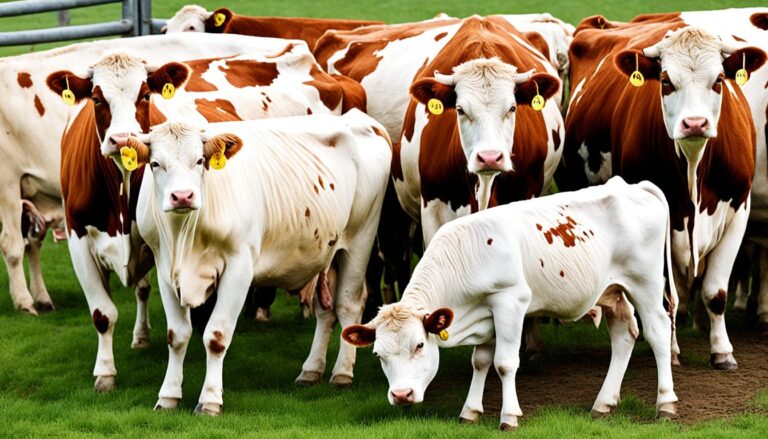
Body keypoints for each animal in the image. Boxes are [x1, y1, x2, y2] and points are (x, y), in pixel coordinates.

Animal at [44, 40, 365, 392]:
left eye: (144, 95)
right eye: (97, 98)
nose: (122, 139)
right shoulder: (79, 239)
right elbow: (103, 314)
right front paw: (105, 372)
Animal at [112, 112, 390, 414]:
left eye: (199, 160)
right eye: (155, 164)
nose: (183, 196)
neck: (184, 237)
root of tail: (357, 119)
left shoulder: (239, 267)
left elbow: (216, 336)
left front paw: (210, 400)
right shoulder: (165, 268)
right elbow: (177, 336)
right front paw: (168, 396)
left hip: (361, 237)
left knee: (348, 305)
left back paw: (342, 372)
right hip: (325, 255)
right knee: (325, 311)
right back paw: (311, 370)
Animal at [342, 177, 679, 430]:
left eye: (420, 346)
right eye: (378, 354)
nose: (401, 395)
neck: (469, 251)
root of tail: (632, 185)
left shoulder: (510, 301)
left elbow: (504, 363)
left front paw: (508, 417)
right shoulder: (485, 313)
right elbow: (480, 362)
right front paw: (469, 411)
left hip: (646, 283)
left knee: (658, 331)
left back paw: (665, 403)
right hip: (612, 290)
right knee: (625, 334)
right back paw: (603, 403)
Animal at [557, 15, 767, 368]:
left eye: (719, 79)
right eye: (666, 81)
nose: (694, 123)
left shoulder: (739, 209)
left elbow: (716, 292)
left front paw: (722, 351)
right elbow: (668, 297)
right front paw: (670, 352)